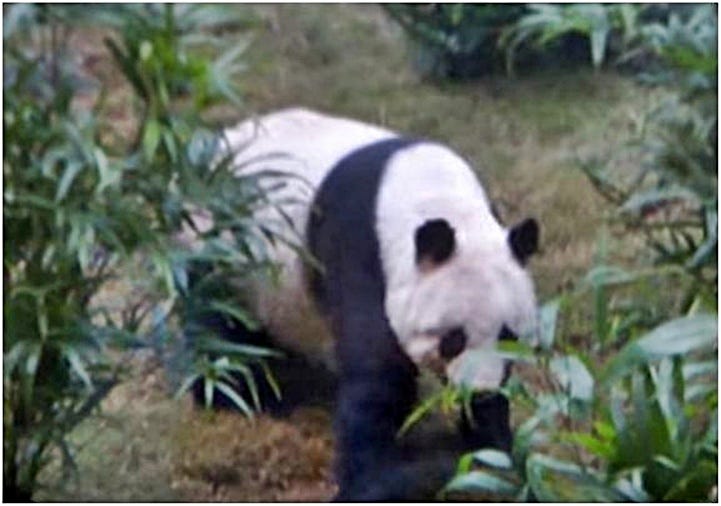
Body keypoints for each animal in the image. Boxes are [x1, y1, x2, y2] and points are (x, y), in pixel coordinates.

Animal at [181, 108, 540, 501]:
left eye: (509, 335)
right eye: (453, 339)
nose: (480, 390)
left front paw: (489, 442)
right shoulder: (359, 249)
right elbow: (378, 375)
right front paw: (379, 478)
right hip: (221, 251)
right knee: (220, 332)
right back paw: (241, 397)